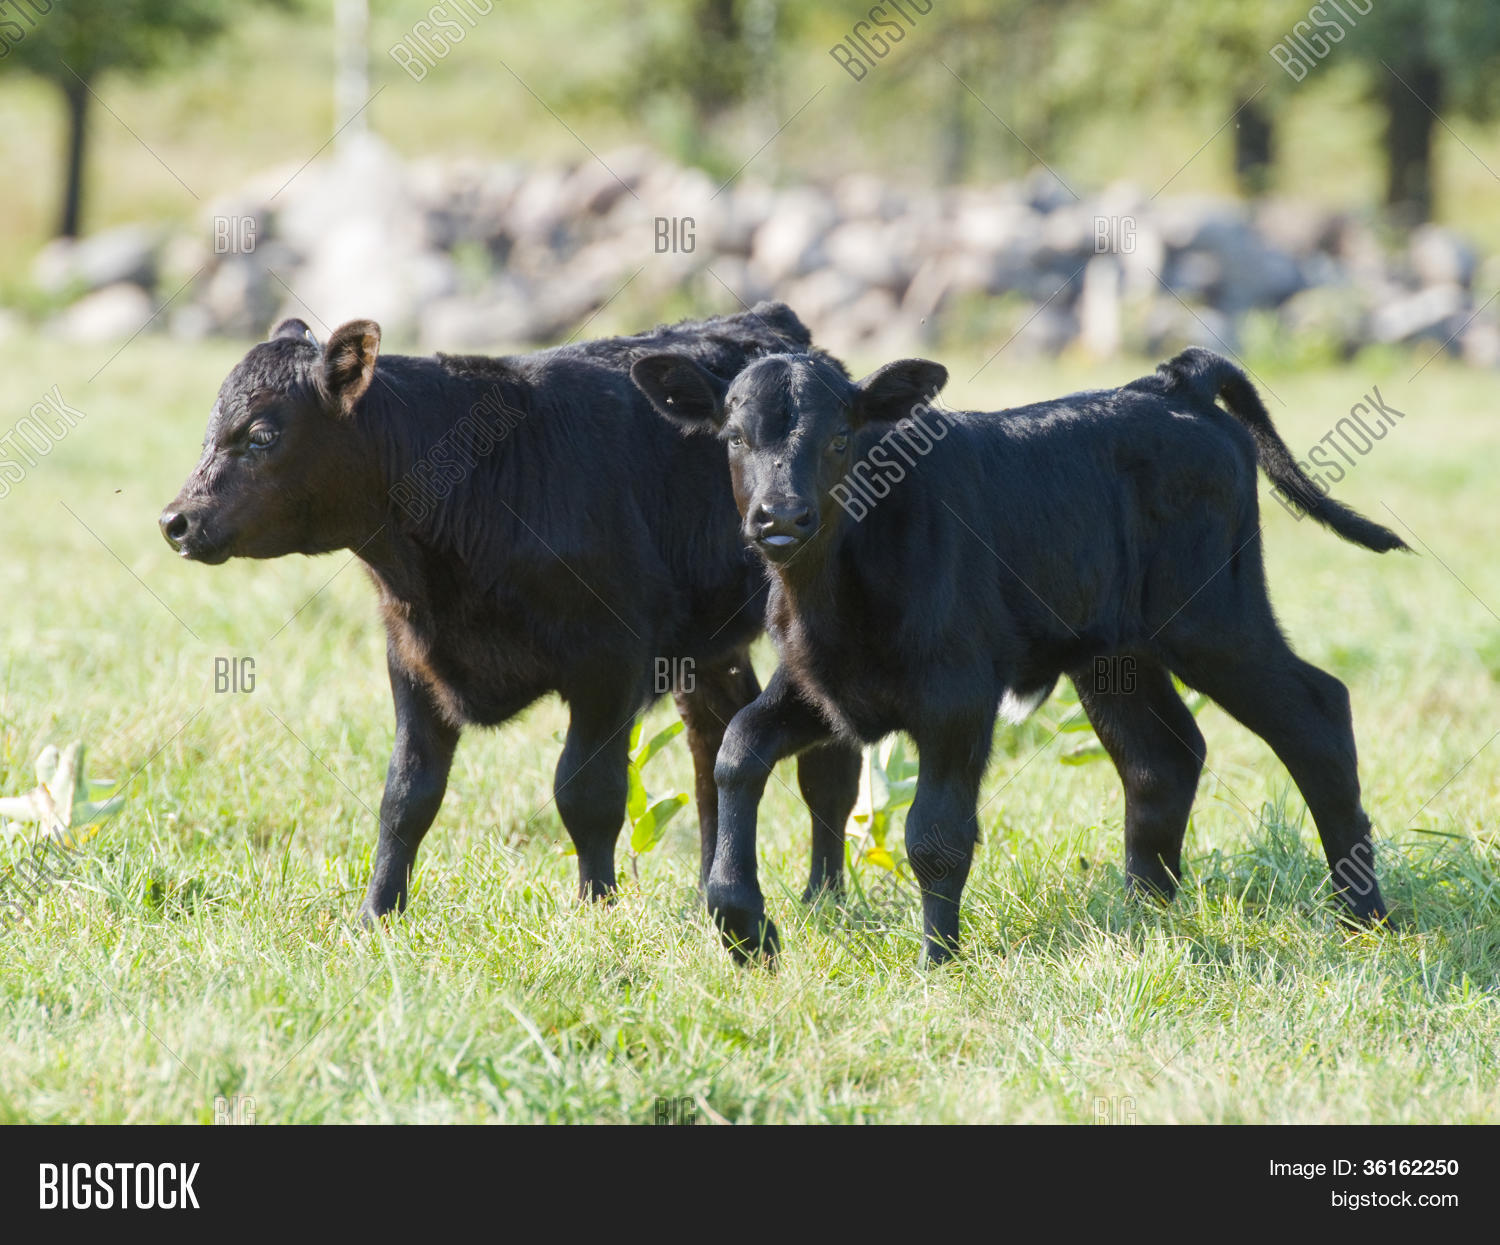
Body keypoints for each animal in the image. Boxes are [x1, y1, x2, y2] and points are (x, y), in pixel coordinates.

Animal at [159, 305, 863, 924]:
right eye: (211, 428)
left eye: (261, 435)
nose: (176, 520)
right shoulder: (412, 658)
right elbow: (406, 796)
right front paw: (375, 915)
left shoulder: (609, 664)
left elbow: (586, 794)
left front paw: (596, 911)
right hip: (705, 647)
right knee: (712, 739)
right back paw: (703, 893)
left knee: (826, 765)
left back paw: (823, 896)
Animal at [630, 345, 1406, 964]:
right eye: (734, 437)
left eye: (842, 438)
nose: (782, 519)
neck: (832, 591)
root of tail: (1168, 386)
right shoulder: (820, 686)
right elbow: (737, 750)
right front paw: (743, 927)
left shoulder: (957, 696)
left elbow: (934, 834)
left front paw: (939, 962)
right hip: (1116, 652)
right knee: (1162, 757)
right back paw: (1145, 915)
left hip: (1215, 617)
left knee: (1316, 713)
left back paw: (1363, 915)